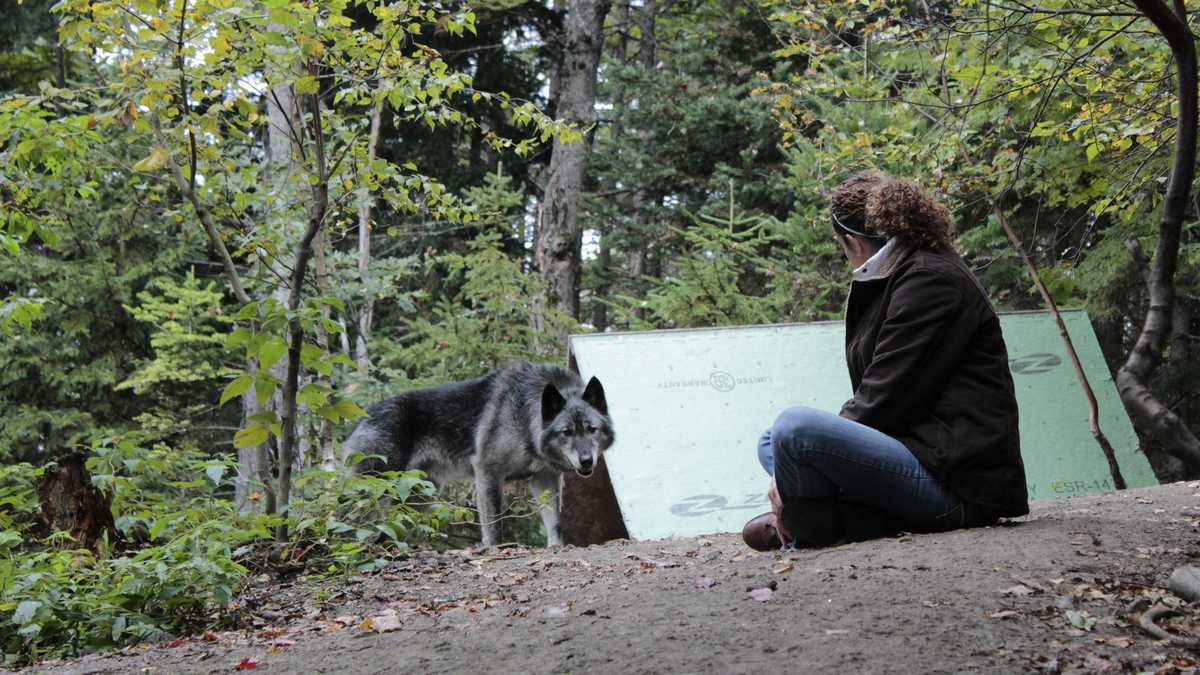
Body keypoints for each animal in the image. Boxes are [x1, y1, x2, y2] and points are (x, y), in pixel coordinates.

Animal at [341, 361, 614, 547]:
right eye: (567, 432)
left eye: (591, 429)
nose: (587, 461)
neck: (524, 416)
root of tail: (360, 418)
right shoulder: (488, 473)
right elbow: (494, 525)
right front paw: (497, 550)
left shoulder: (544, 479)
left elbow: (554, 522)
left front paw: (556, 548)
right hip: (378, 491)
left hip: (418, 497)